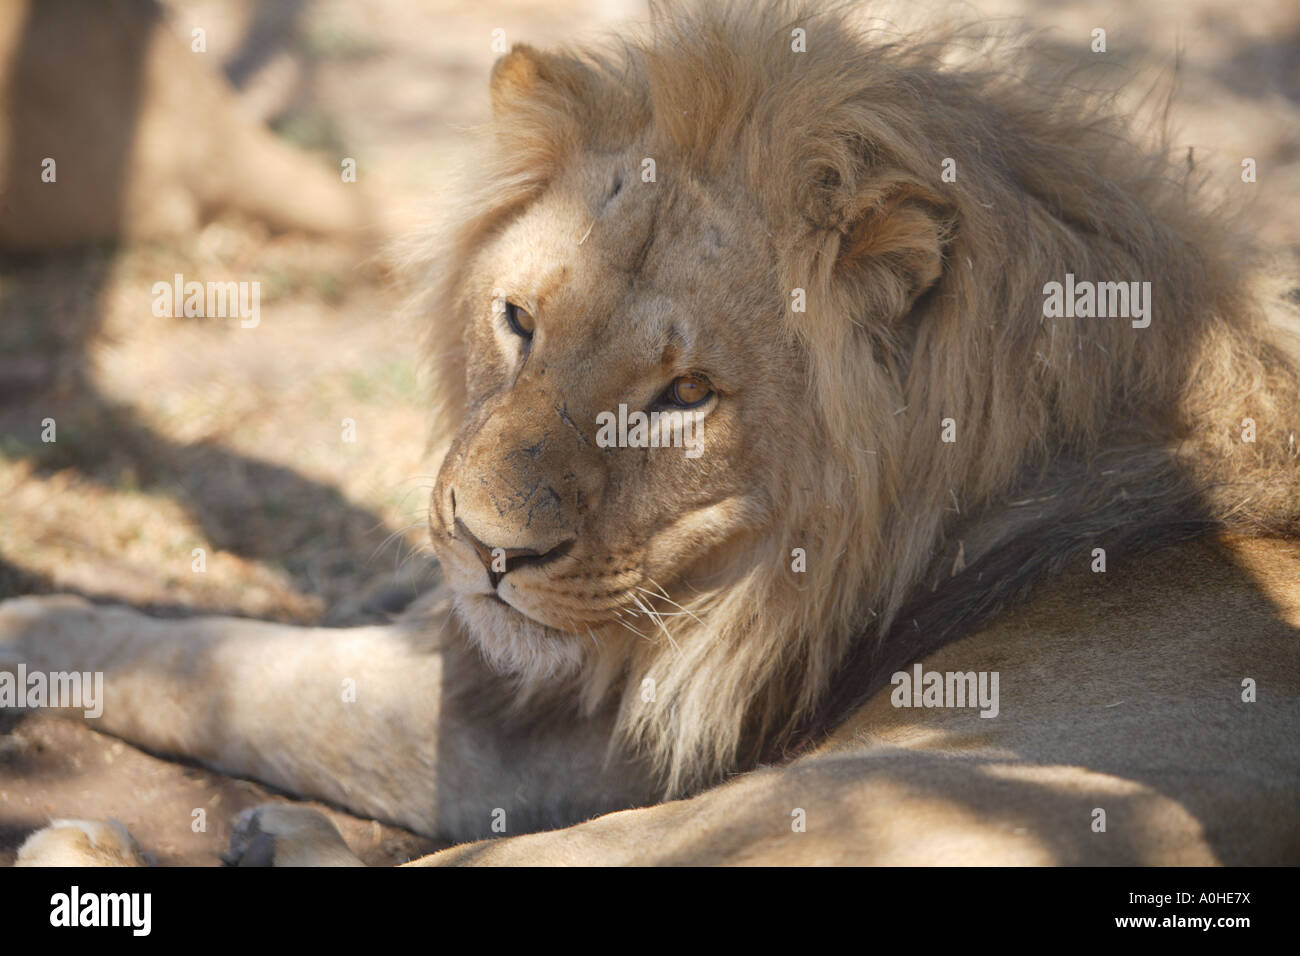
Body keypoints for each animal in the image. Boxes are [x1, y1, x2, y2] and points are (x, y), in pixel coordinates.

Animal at [4, 0, 1299, 866]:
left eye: (683, 395)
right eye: (517, 321)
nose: (488, 547)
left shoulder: (579, 741)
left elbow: (250, 671)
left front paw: (38, 624)